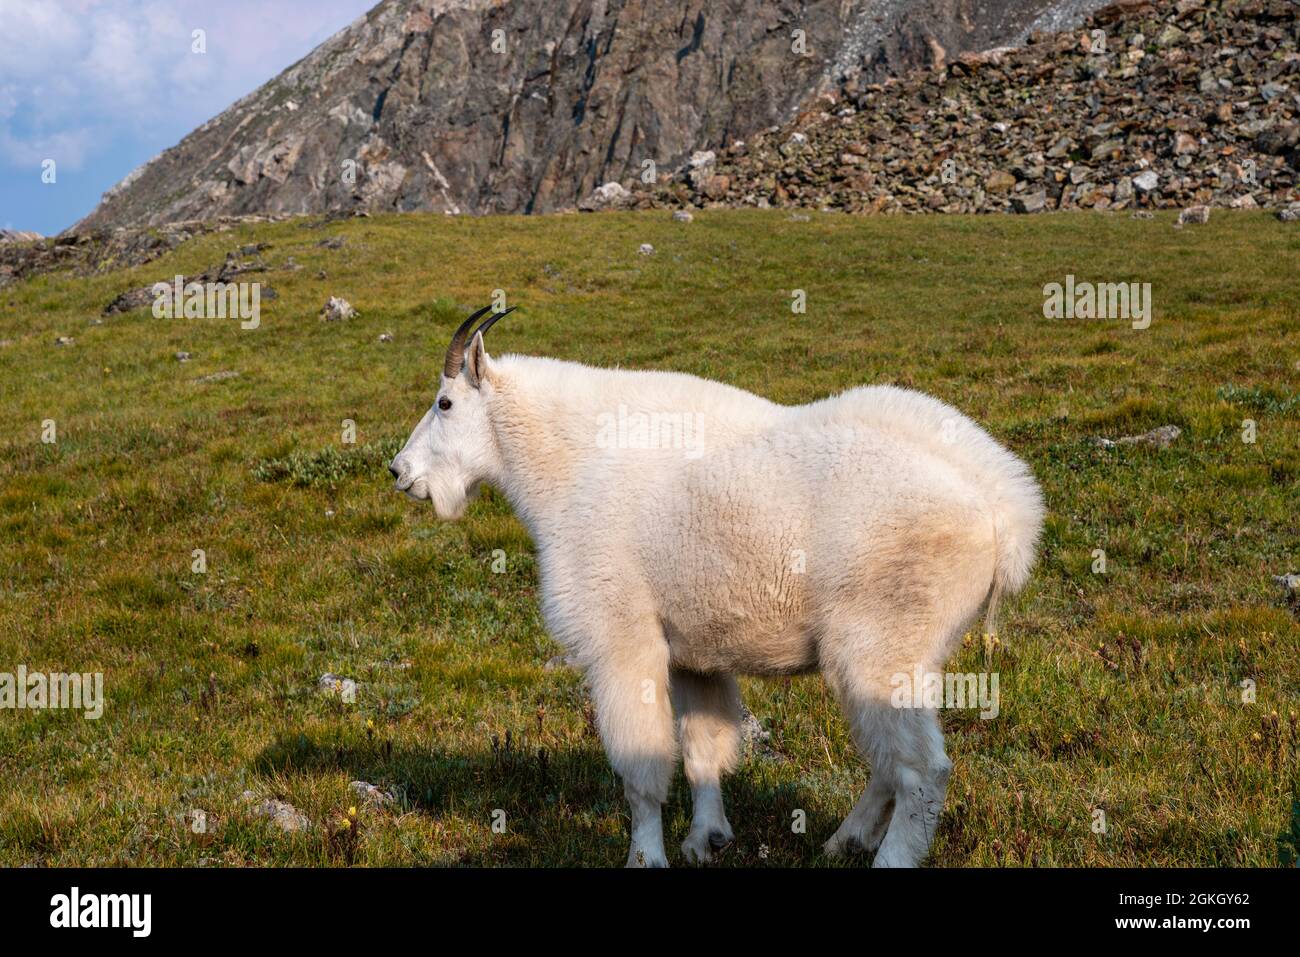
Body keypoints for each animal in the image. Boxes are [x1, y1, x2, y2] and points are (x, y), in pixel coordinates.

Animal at [390, 306, 1045, 867]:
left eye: (445, 402)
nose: (400, 472)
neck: (568, 464)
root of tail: (1004, 511)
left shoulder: (621, 639)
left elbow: (641, 769)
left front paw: (646, 855)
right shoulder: (693, 654)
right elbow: (703, 750)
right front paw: (706, 839)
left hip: (881, 645)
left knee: (922, 770)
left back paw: (884, 856)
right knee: (890, 764)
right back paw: (843, 841)